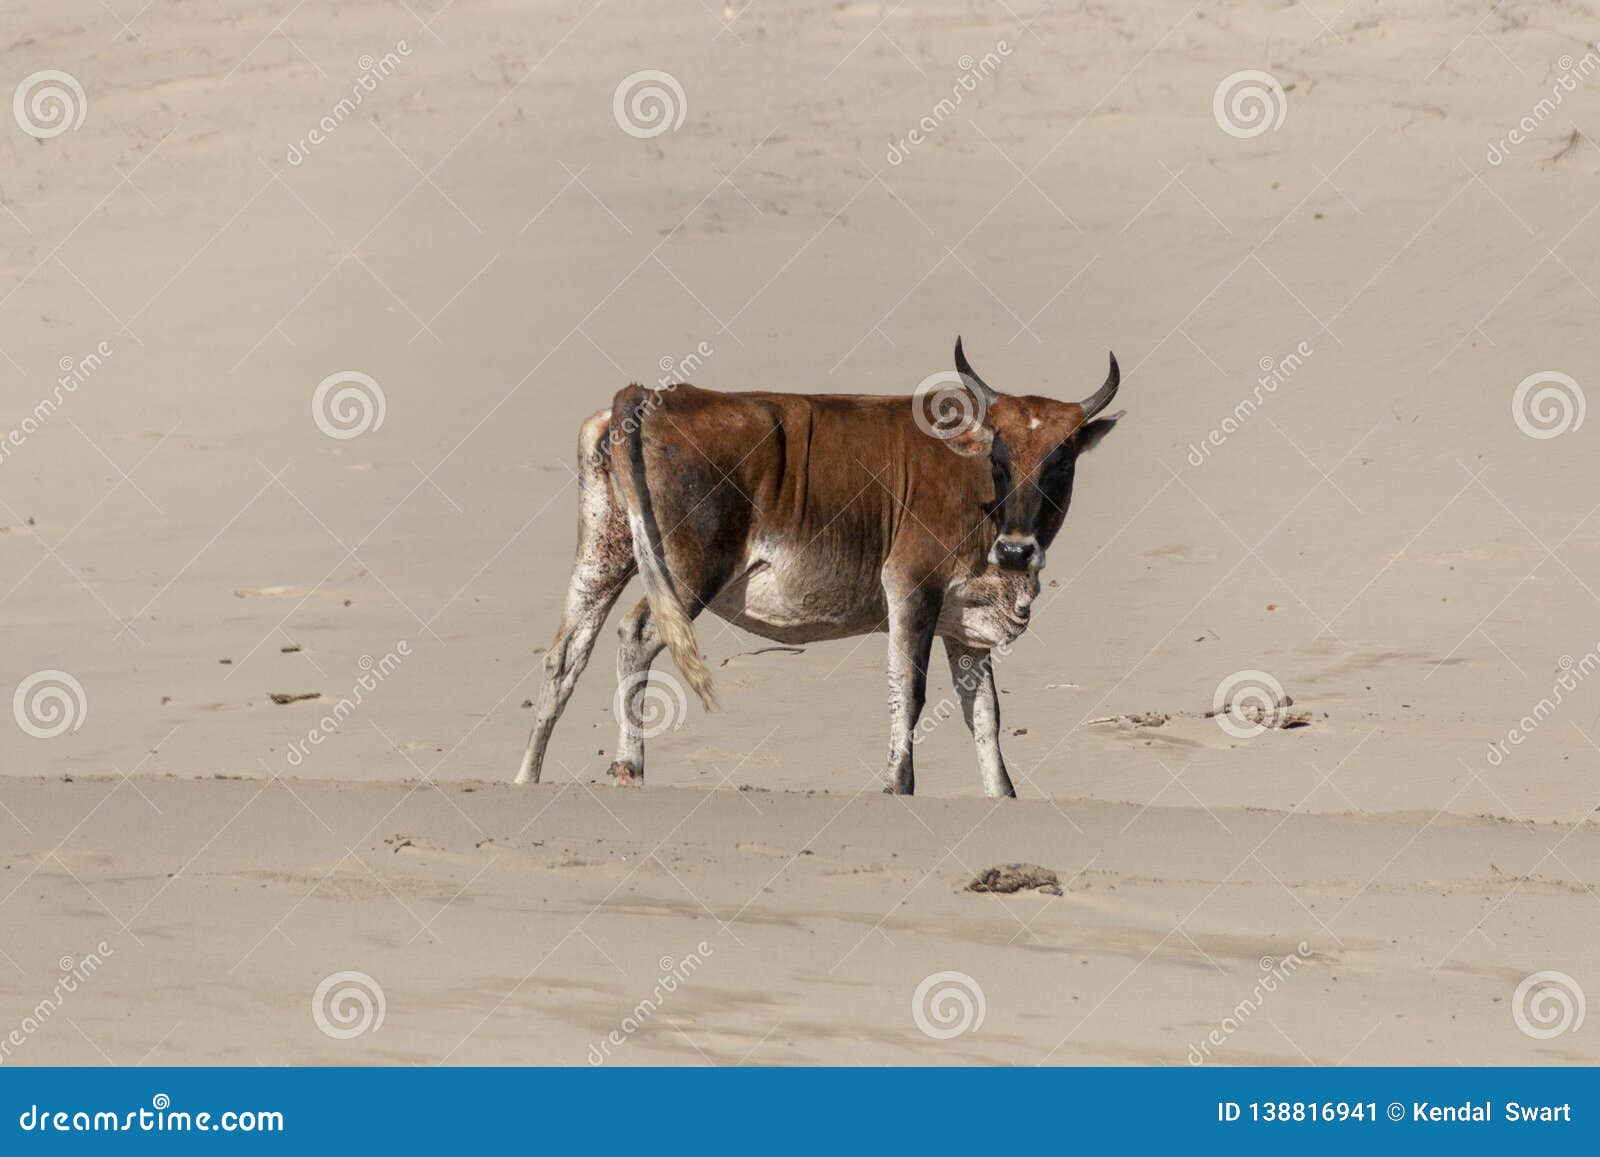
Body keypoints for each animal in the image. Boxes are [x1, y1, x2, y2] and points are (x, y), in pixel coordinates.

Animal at [513, 339, 1121, 797]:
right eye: (999, 456)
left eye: (1061, 460)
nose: (1017, 551)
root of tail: (650, 397)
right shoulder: (912, 588)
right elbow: (910, 689)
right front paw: (898, 784)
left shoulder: (965, 626)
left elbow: (985, 714)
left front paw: (1002, 794)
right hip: (686, 572)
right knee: (637, 634)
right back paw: (629, 765)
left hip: (605, 554)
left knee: (567, 653)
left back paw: (527, 775)